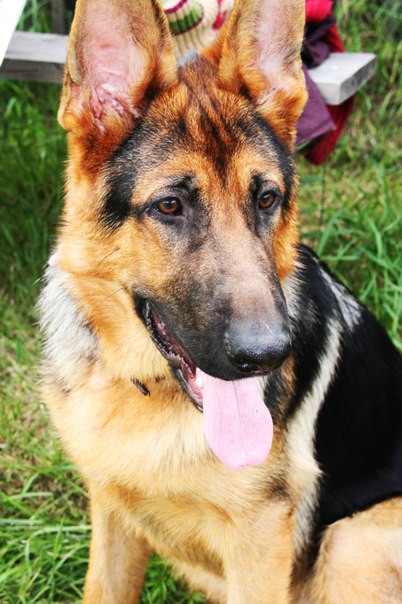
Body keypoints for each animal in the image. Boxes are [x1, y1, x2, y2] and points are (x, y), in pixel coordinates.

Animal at [39, 0, 402, 601]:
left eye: (267, 198)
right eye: (169, 206)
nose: (268, 354)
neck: (144, 390)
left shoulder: (259, 547)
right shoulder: (113, 515)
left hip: (351, 541)